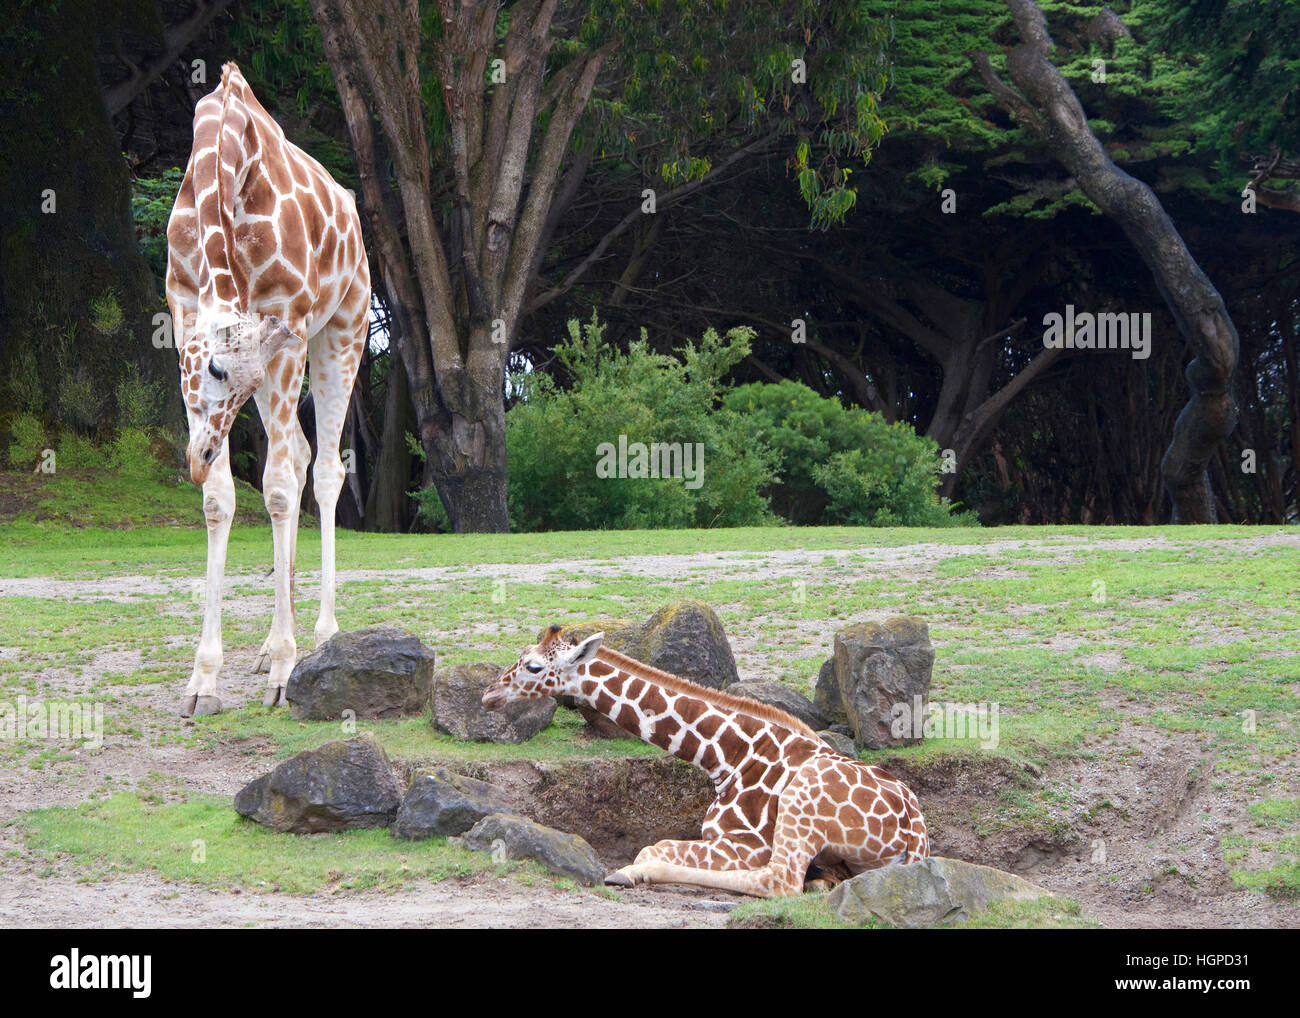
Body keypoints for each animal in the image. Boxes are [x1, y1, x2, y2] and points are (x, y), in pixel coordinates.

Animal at [165, 62, 370, 717]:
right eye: (216, 372)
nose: (198, 457)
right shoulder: (182, 311)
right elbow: (221, 499)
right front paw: (203, 680)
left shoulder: (289, 319)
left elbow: (277, 487)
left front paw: (284, 670)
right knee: (300, 454)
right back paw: (275, 644)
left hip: (344, 327)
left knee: (324, 466)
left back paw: (321, 639)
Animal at [483, 626, 930, 897]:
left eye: (533, 666)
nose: (488, 694)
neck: (726, 757)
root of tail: (914, 836)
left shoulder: (744, 842)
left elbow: (652, 847)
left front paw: (634, 868)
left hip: (803, 801)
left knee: (780, 880)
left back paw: (630, 873)